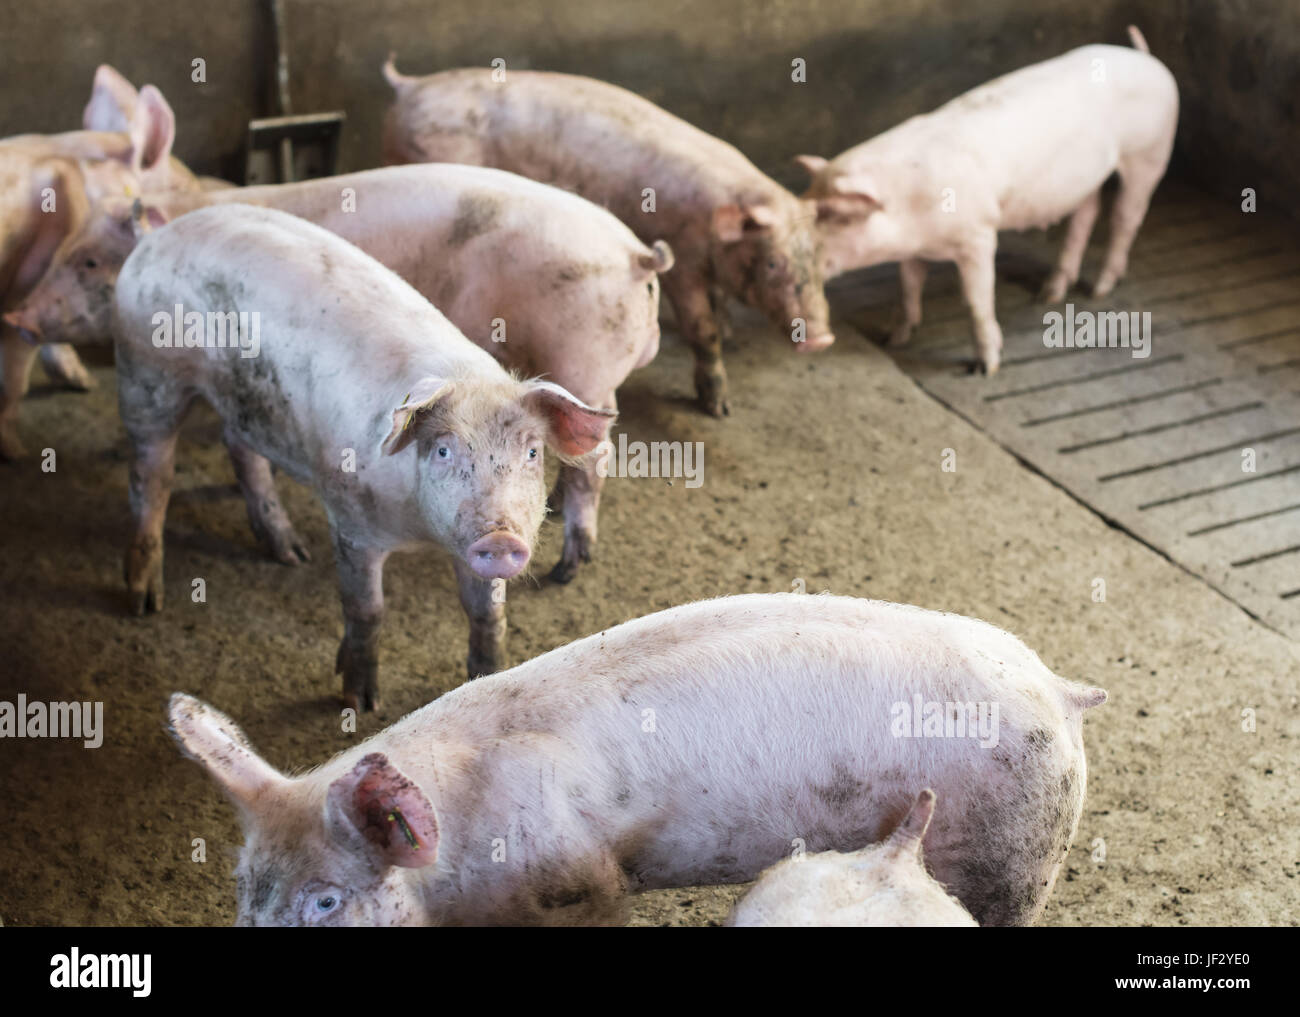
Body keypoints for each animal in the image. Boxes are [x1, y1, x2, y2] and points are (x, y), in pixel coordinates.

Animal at [7, 164, 673, 584]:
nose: (16, 316)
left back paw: (568, 568)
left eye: (89, 261)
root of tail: (636, 254)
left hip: (583, 359)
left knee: (594, 464)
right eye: (65, 251)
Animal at [114, 205, 612, 710]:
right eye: (443, 449)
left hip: (245, 401)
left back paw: (291, 554)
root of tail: (156, 235)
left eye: (532, 451)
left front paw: (487, 675)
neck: (418, 530)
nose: (501, 536)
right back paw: (144, 601)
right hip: (146, 373)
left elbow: (487, 614)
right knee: (150, 476)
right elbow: (366, 609)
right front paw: (361, 701)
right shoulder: (351, 522)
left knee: (240, 450)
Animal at [382, 57, 837, 417]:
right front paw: (720, 409)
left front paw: (729, 332)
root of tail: (410, 85)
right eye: (773, 262)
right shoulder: (682, 263)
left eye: (820, 259)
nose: (821, 339)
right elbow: (701, 328)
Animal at [795, 27, 1178, 374]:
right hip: (1086, 179)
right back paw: (1050, 294)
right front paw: (895, 339)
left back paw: (1098, 290)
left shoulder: (978, 235)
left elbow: (976, 303)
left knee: (1126, 218)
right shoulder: (914, 248)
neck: (912, 213)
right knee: (1087, 214)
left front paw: (986, 368)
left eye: (832, 214)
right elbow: (908, 286)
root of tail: (1147, 58)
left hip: (1150, 154)